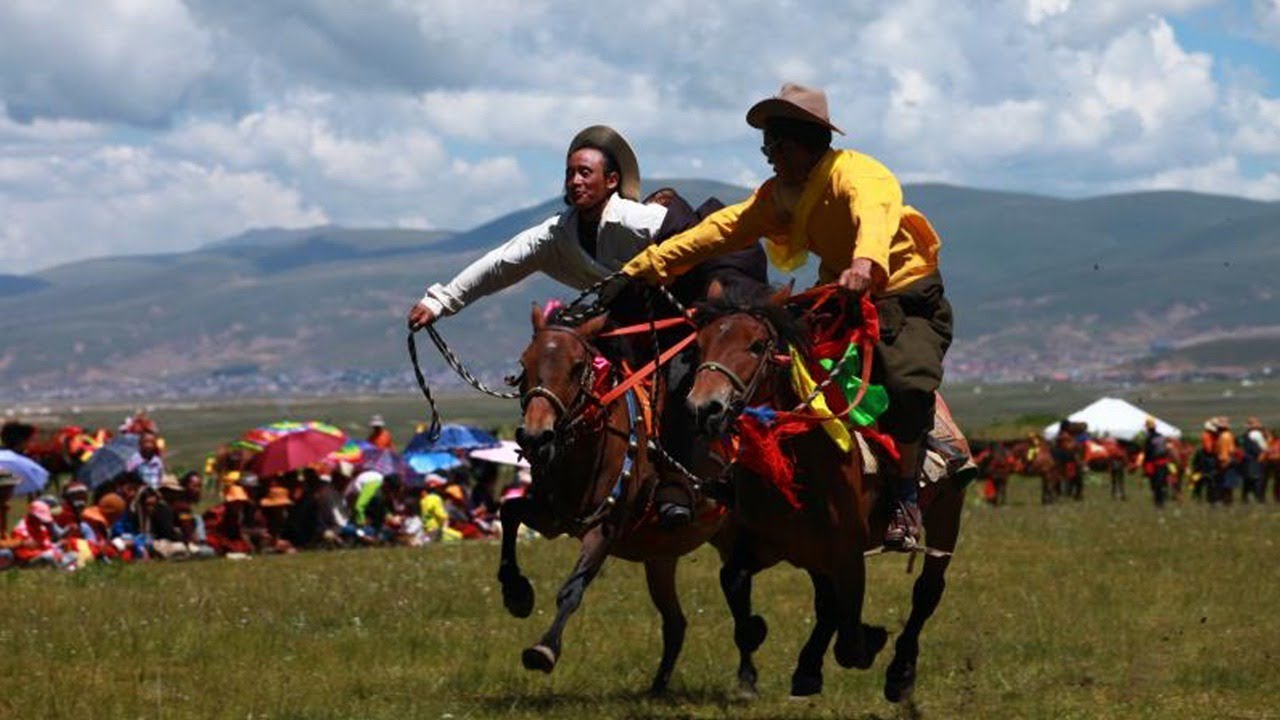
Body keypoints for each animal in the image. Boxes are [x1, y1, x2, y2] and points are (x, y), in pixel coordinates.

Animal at [495, 304, 763, 696]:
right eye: (524, 363)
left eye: (577, 366)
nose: (535, 436)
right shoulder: (551, 516)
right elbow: (508, 511)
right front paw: (516, 593)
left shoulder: (604, 527)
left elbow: (572, 589)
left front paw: (543, 650)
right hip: (661, 557)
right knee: (677, 622)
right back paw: (658, 687)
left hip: (732, 537)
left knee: (737, 591)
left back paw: (746, 677)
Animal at [686, 286, 968, 702]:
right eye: (701, 344)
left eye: (756, 345)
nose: (704, 408)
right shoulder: (767, 544)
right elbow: (734, 580)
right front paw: (762, 634)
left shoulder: (847, 553)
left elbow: (849, 639)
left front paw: (872, 641)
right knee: (827, 604)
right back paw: (809, 668)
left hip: (946, 514)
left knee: (926, 591)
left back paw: (900, 672)